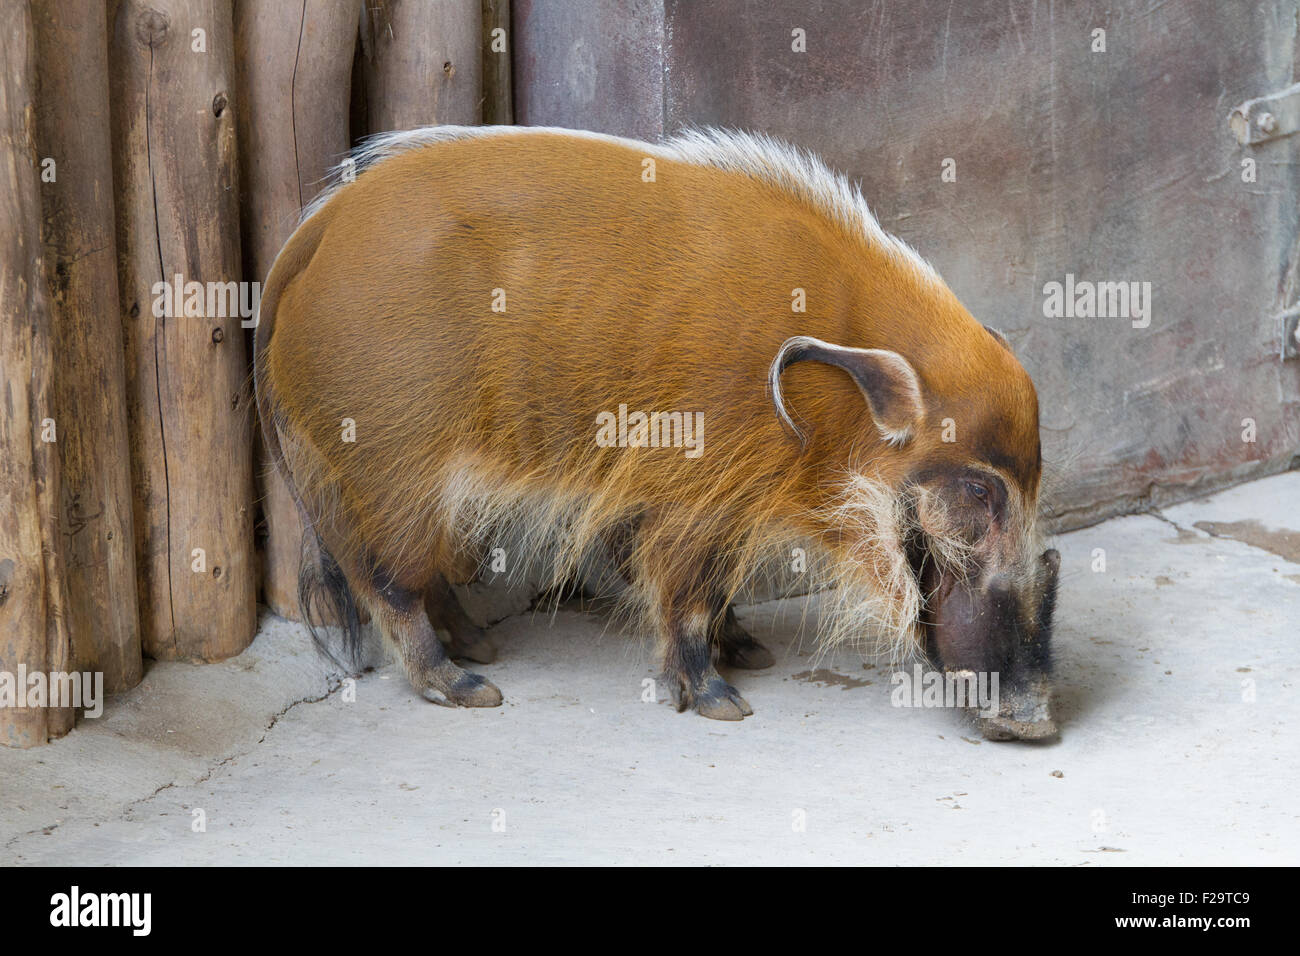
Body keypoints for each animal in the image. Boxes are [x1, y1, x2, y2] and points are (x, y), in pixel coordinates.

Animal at [254, 125, 1060, 740]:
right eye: (980, 493)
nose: (1038, 724)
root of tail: (309, 238)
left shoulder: (724, 495)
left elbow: (716, 582)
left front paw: (751, 652)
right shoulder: (694, 493)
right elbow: (687, 589)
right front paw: (722, 701)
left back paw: (483, 646)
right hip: (388, 467)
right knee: (388, 579)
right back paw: (464, 685)